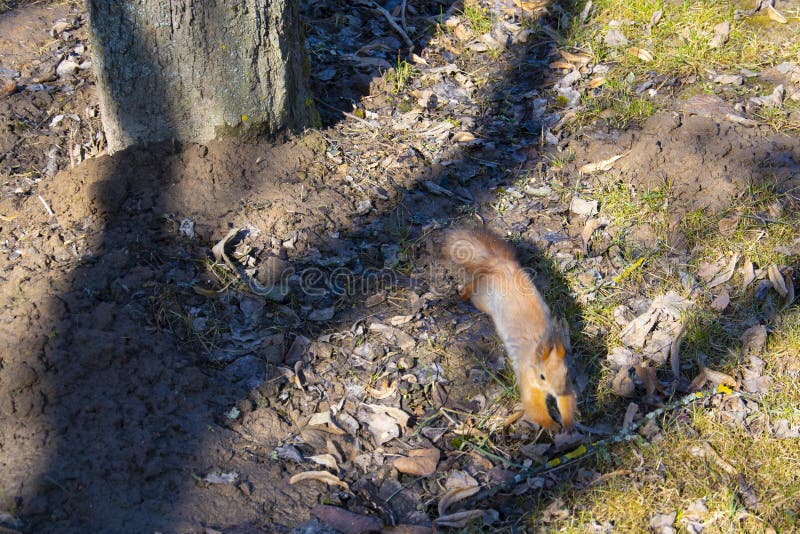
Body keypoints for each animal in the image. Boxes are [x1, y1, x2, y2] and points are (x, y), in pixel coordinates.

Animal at [444, 227, 577, 432]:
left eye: (567, 372)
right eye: (542, 376)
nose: (558, 390)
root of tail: (501, 266)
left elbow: (568, 401)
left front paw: (569, 423)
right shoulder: (527, 379)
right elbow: (534, 405)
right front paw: (551, 425)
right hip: (483, 297)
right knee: (476, 286)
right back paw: (464, 293)